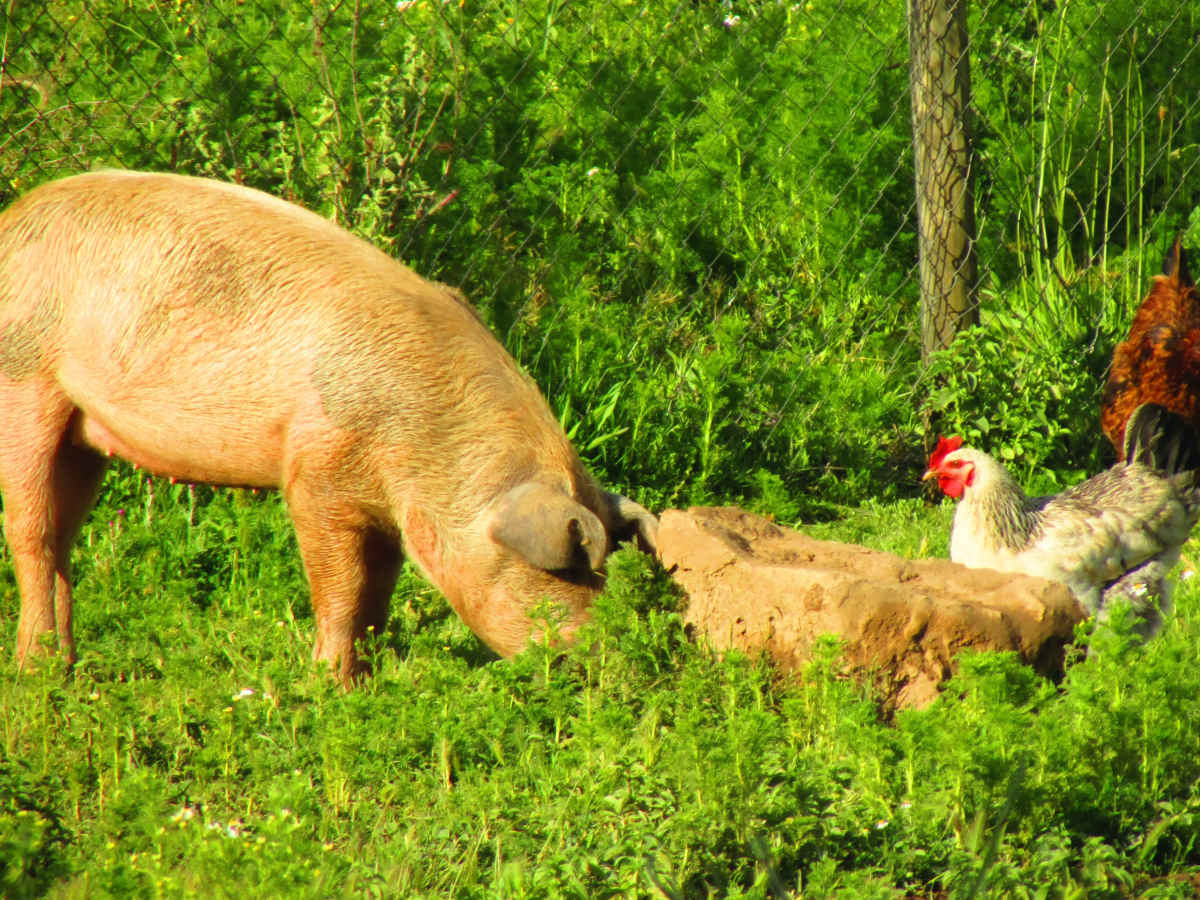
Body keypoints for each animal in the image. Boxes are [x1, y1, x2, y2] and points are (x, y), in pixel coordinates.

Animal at [0, 170, 657, 683]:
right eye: (571, 569)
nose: (614, 664)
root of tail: (12, 219)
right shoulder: (317, 477)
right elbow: (341, 589)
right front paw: (329, 687)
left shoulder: (387, 515)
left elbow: (378, 598)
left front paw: (368, 683)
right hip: (24, 375)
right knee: (31, 531)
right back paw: (38, 672)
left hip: (84, 435)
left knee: (63, 535)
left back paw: (68, 665)